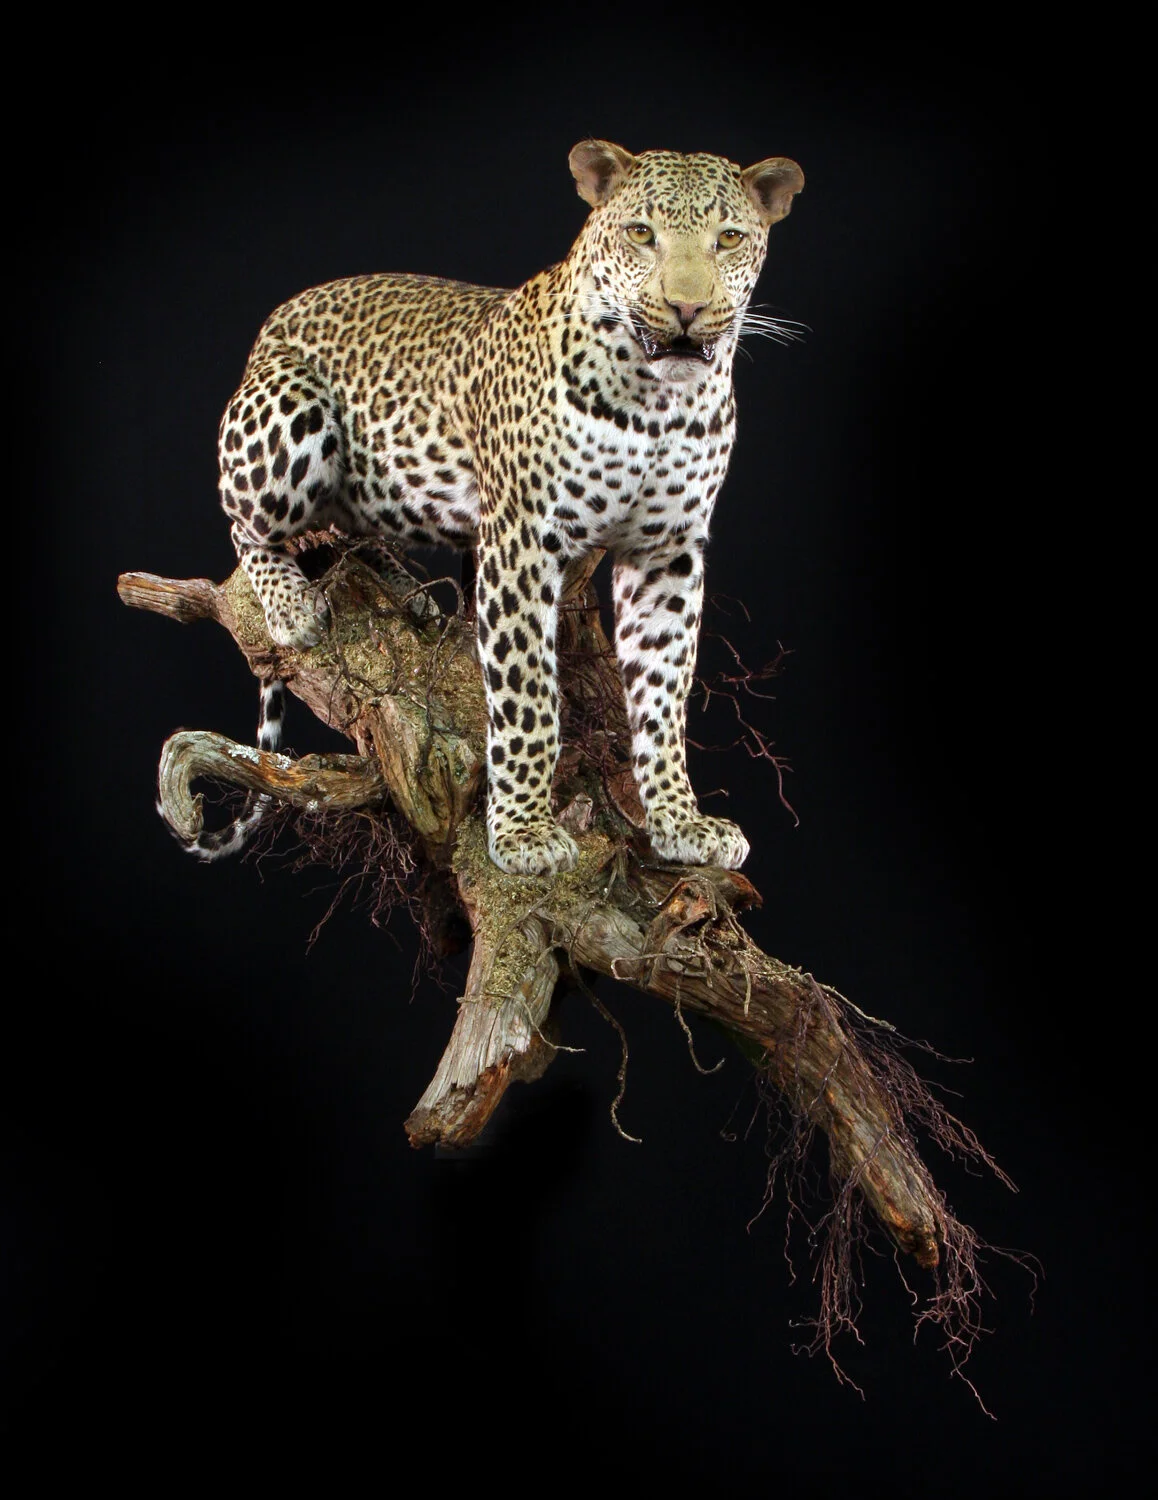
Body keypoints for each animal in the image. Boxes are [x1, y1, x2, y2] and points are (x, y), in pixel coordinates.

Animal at [198, 140, 804, 875]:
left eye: (729, 239)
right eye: (641, 234)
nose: (686, 309)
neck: (659, 403)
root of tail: (273, 322)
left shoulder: (667, 548)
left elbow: (663, 696)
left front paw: (680, 822)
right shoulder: (523, 537)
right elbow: (527, 697)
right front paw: (521, 834)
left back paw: (408, 595)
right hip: (287, 413)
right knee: (245, 525)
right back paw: (292, 606)